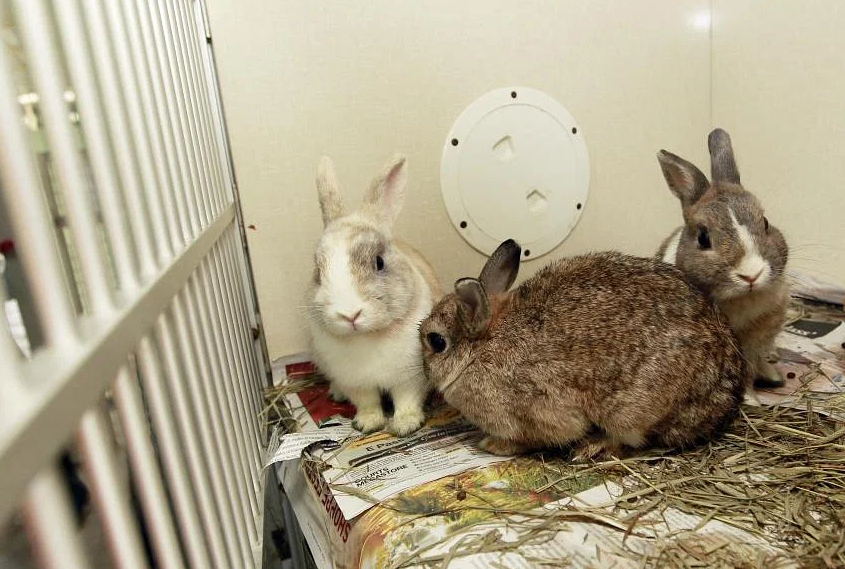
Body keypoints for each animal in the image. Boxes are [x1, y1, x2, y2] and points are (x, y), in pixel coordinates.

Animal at [307, 154, 442, 436]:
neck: (367, 337)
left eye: (379, 262)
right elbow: (367, 402)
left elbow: (406, 400)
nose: (349, 314)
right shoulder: (356, 383)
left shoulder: (410, 377)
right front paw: (367, 424)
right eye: (318, 272)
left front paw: (405, 425)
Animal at [418, 239, 747, 457]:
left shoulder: (536, 412)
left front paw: (492, 445)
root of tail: (726, 402)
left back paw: (591, 447)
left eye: (436, 341)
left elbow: (546, 435)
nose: (422, 370)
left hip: (629, 412)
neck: (480, 349)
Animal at [656, 128, 789, 399]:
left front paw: (756, 394)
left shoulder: (757, 341)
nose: (751, 275)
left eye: (766, 222)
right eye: (703, 238)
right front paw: (750, 401)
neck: (742, 300)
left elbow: (752, 367)